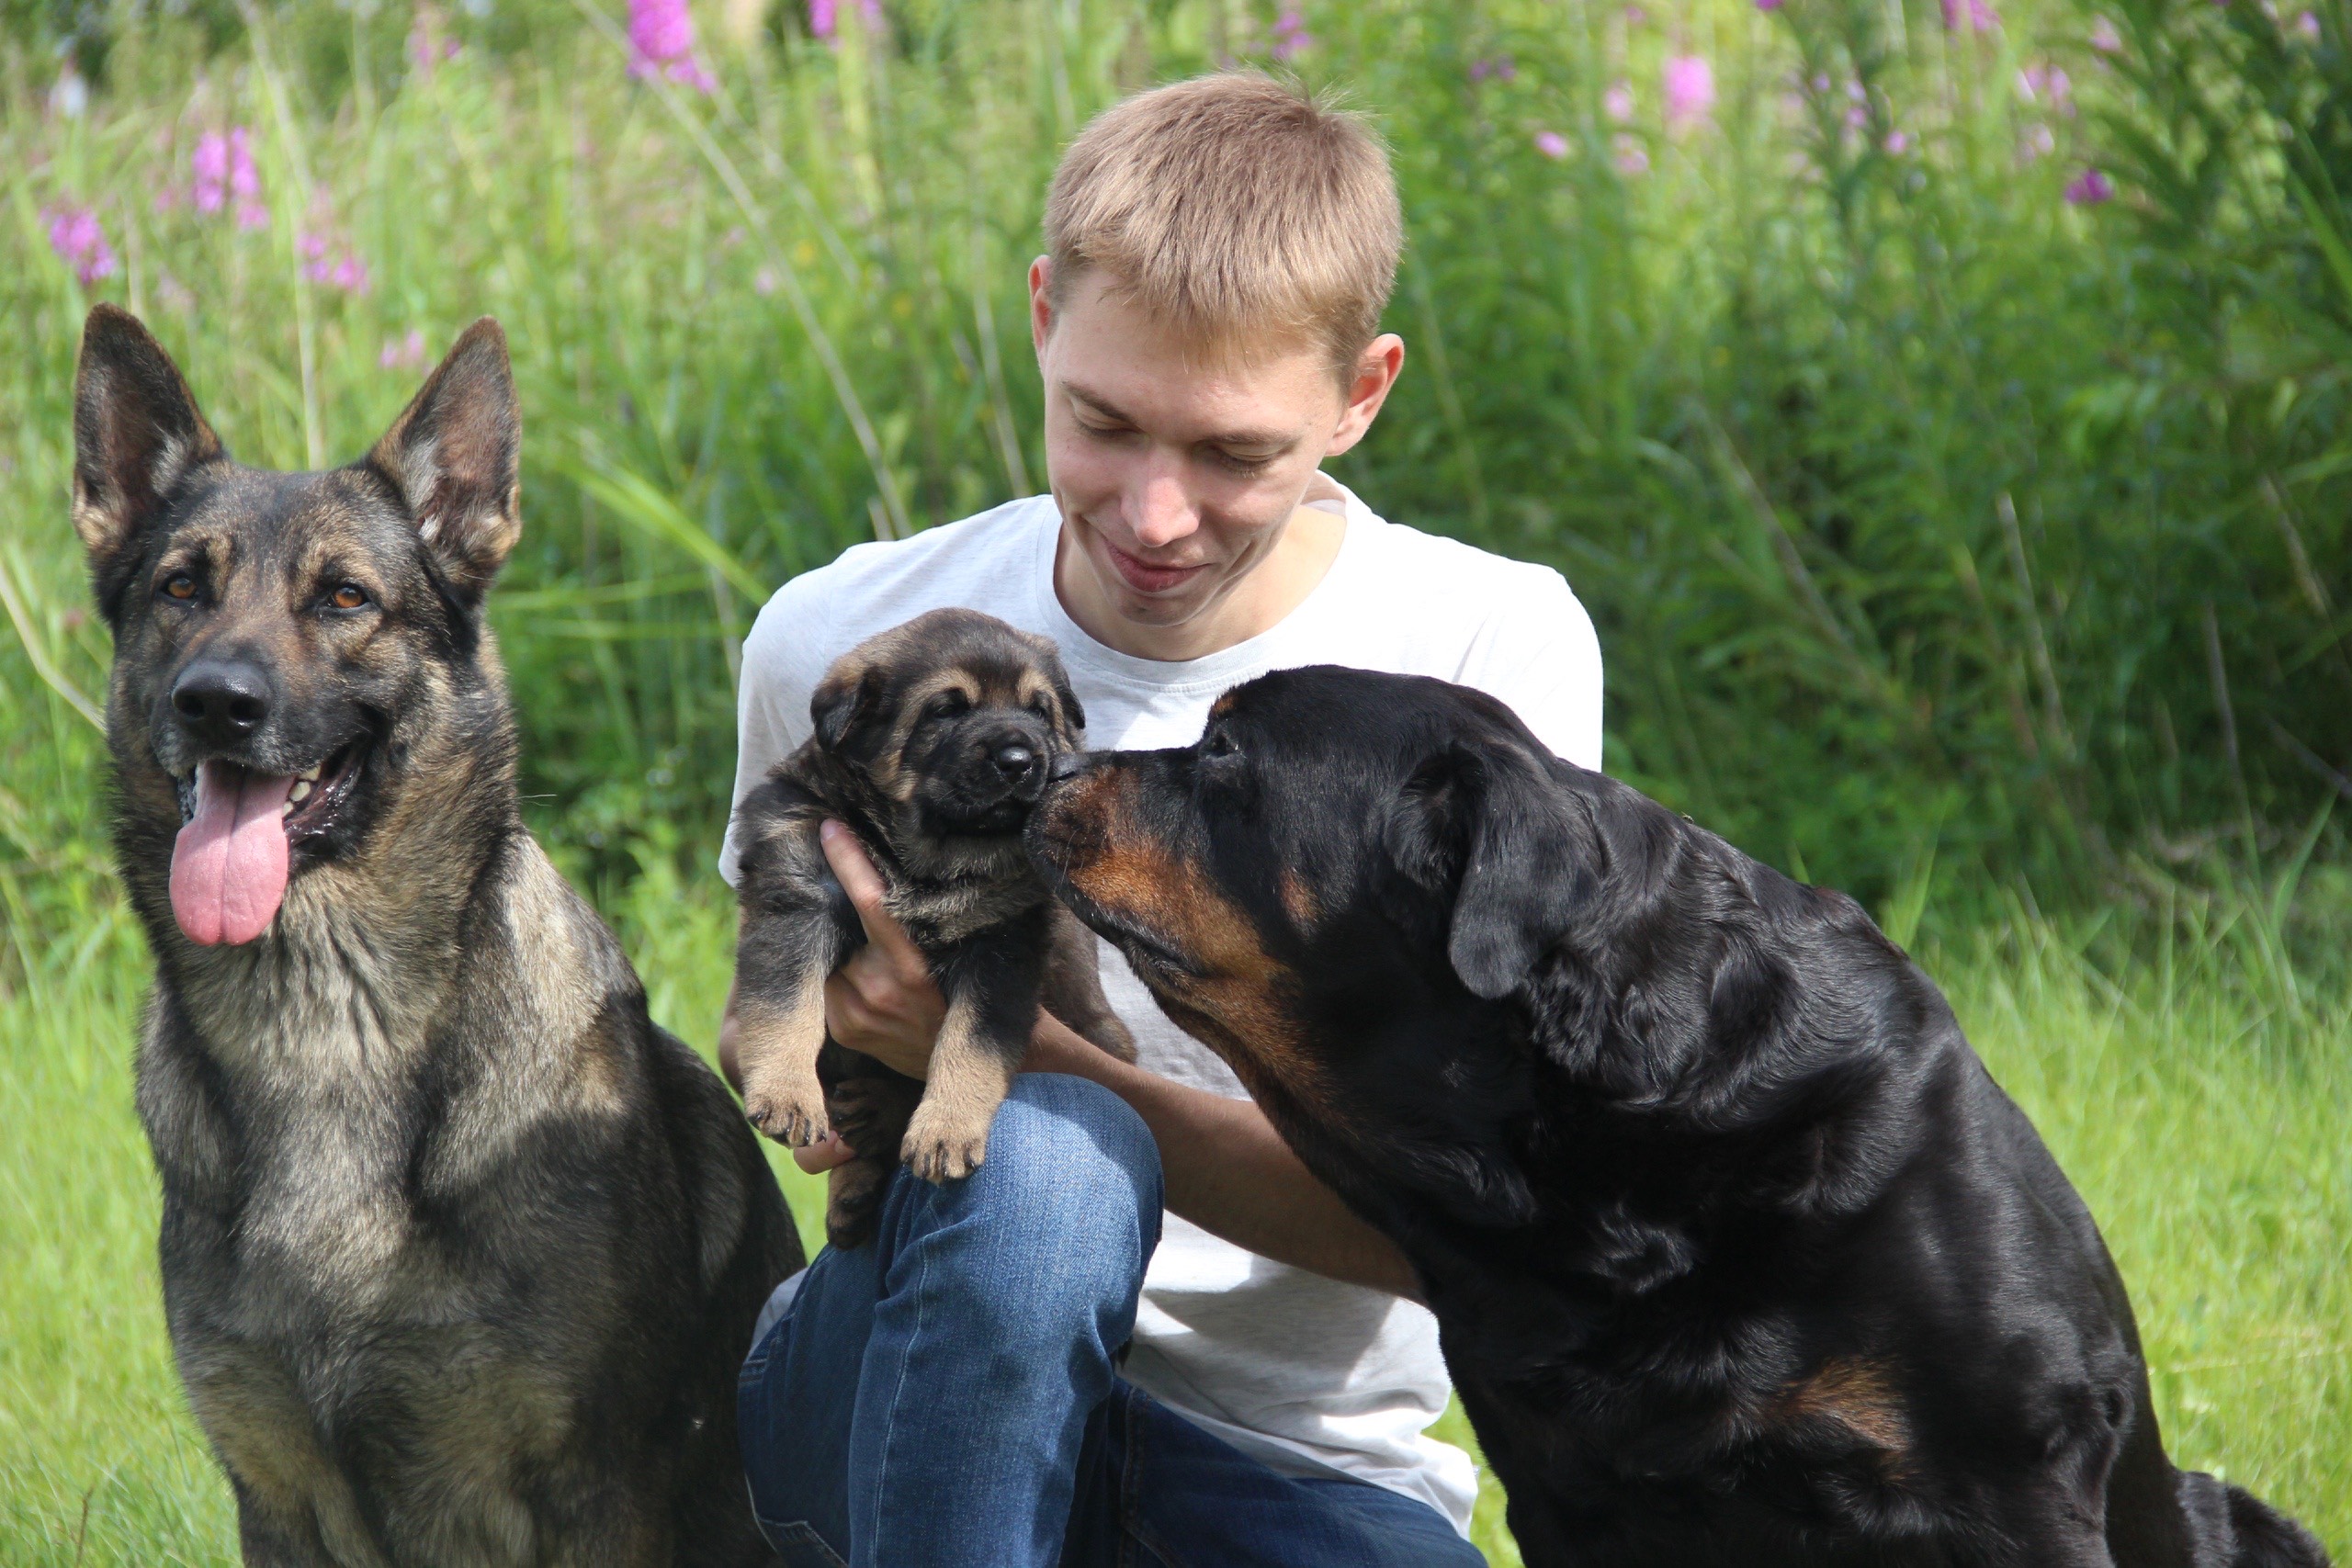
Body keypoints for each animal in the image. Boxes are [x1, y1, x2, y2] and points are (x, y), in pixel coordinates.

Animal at [68, 305, 804, 1568]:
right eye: (180, 587)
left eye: (344, 599)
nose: (216, 702)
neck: (324, 1026)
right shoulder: (274, 1496)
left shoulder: (595, 1495)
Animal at [733, 606, 1138, 1241]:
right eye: (946, 710)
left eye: (1038, 710)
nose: (1020, 761)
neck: (927, 858)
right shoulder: (799, 891)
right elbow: (784, 1004)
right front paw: (786, 1093)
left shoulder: (1001, 951)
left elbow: (969, 1043)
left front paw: (945, 1130)